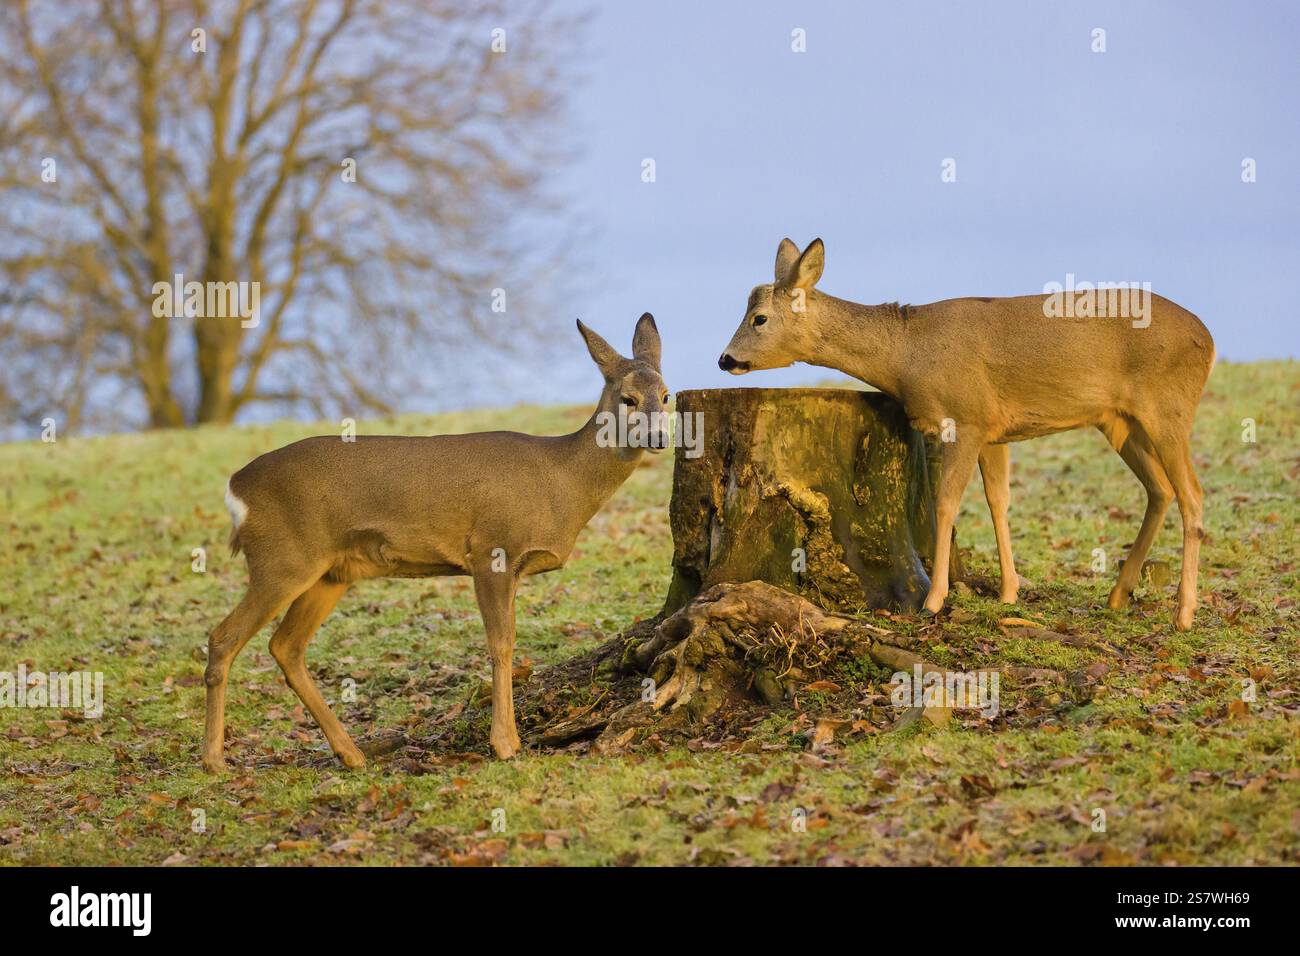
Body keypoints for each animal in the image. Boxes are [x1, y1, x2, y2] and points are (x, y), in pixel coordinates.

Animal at [202, 313, 670, 772]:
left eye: (666, 396)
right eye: (628, 398)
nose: (659, 438)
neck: (562, 481)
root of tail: (235, 488)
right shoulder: (492, 549)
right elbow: (501, 644)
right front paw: (506, 744)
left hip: (330, 572)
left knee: (285, 646)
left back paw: (351, 754)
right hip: (283, 559)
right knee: (224, 637)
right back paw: (214, 760)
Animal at [719, 238, 1215, 631]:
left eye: (759, 318)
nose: (725, 359)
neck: (905, 354)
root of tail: (1208, 340)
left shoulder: (966, 419)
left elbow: (945, 503)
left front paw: (934, 600)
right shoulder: (994, 431)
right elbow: (999, 501)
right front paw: (1009, 592)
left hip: (1169, 411)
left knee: (1192, 493)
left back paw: (1184, 613)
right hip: (1120, 422)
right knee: (1161, 489)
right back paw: (1117, 596)